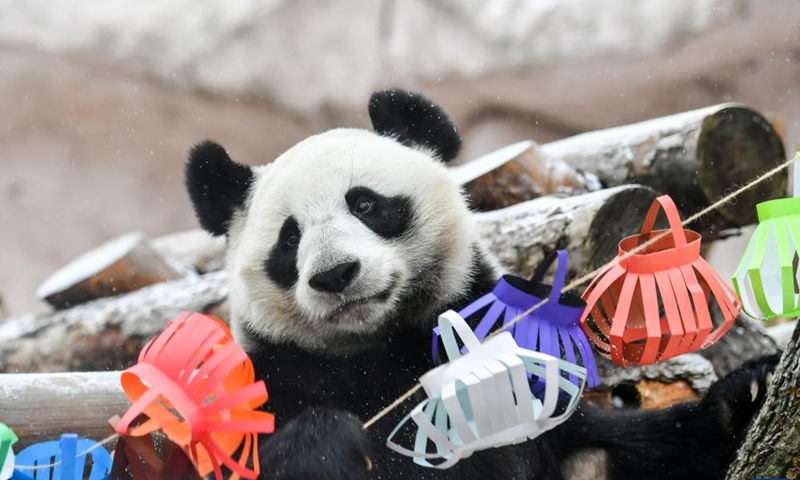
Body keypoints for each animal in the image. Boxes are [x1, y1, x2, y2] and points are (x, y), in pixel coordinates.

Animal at [184, 89, 778, 480]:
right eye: (289, 239)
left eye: (366, 204)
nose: (334, 274)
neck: (377, 344)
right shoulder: (274, 382)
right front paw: (329, 445)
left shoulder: (523, 370)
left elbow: (632, 449)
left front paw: (746, 393)